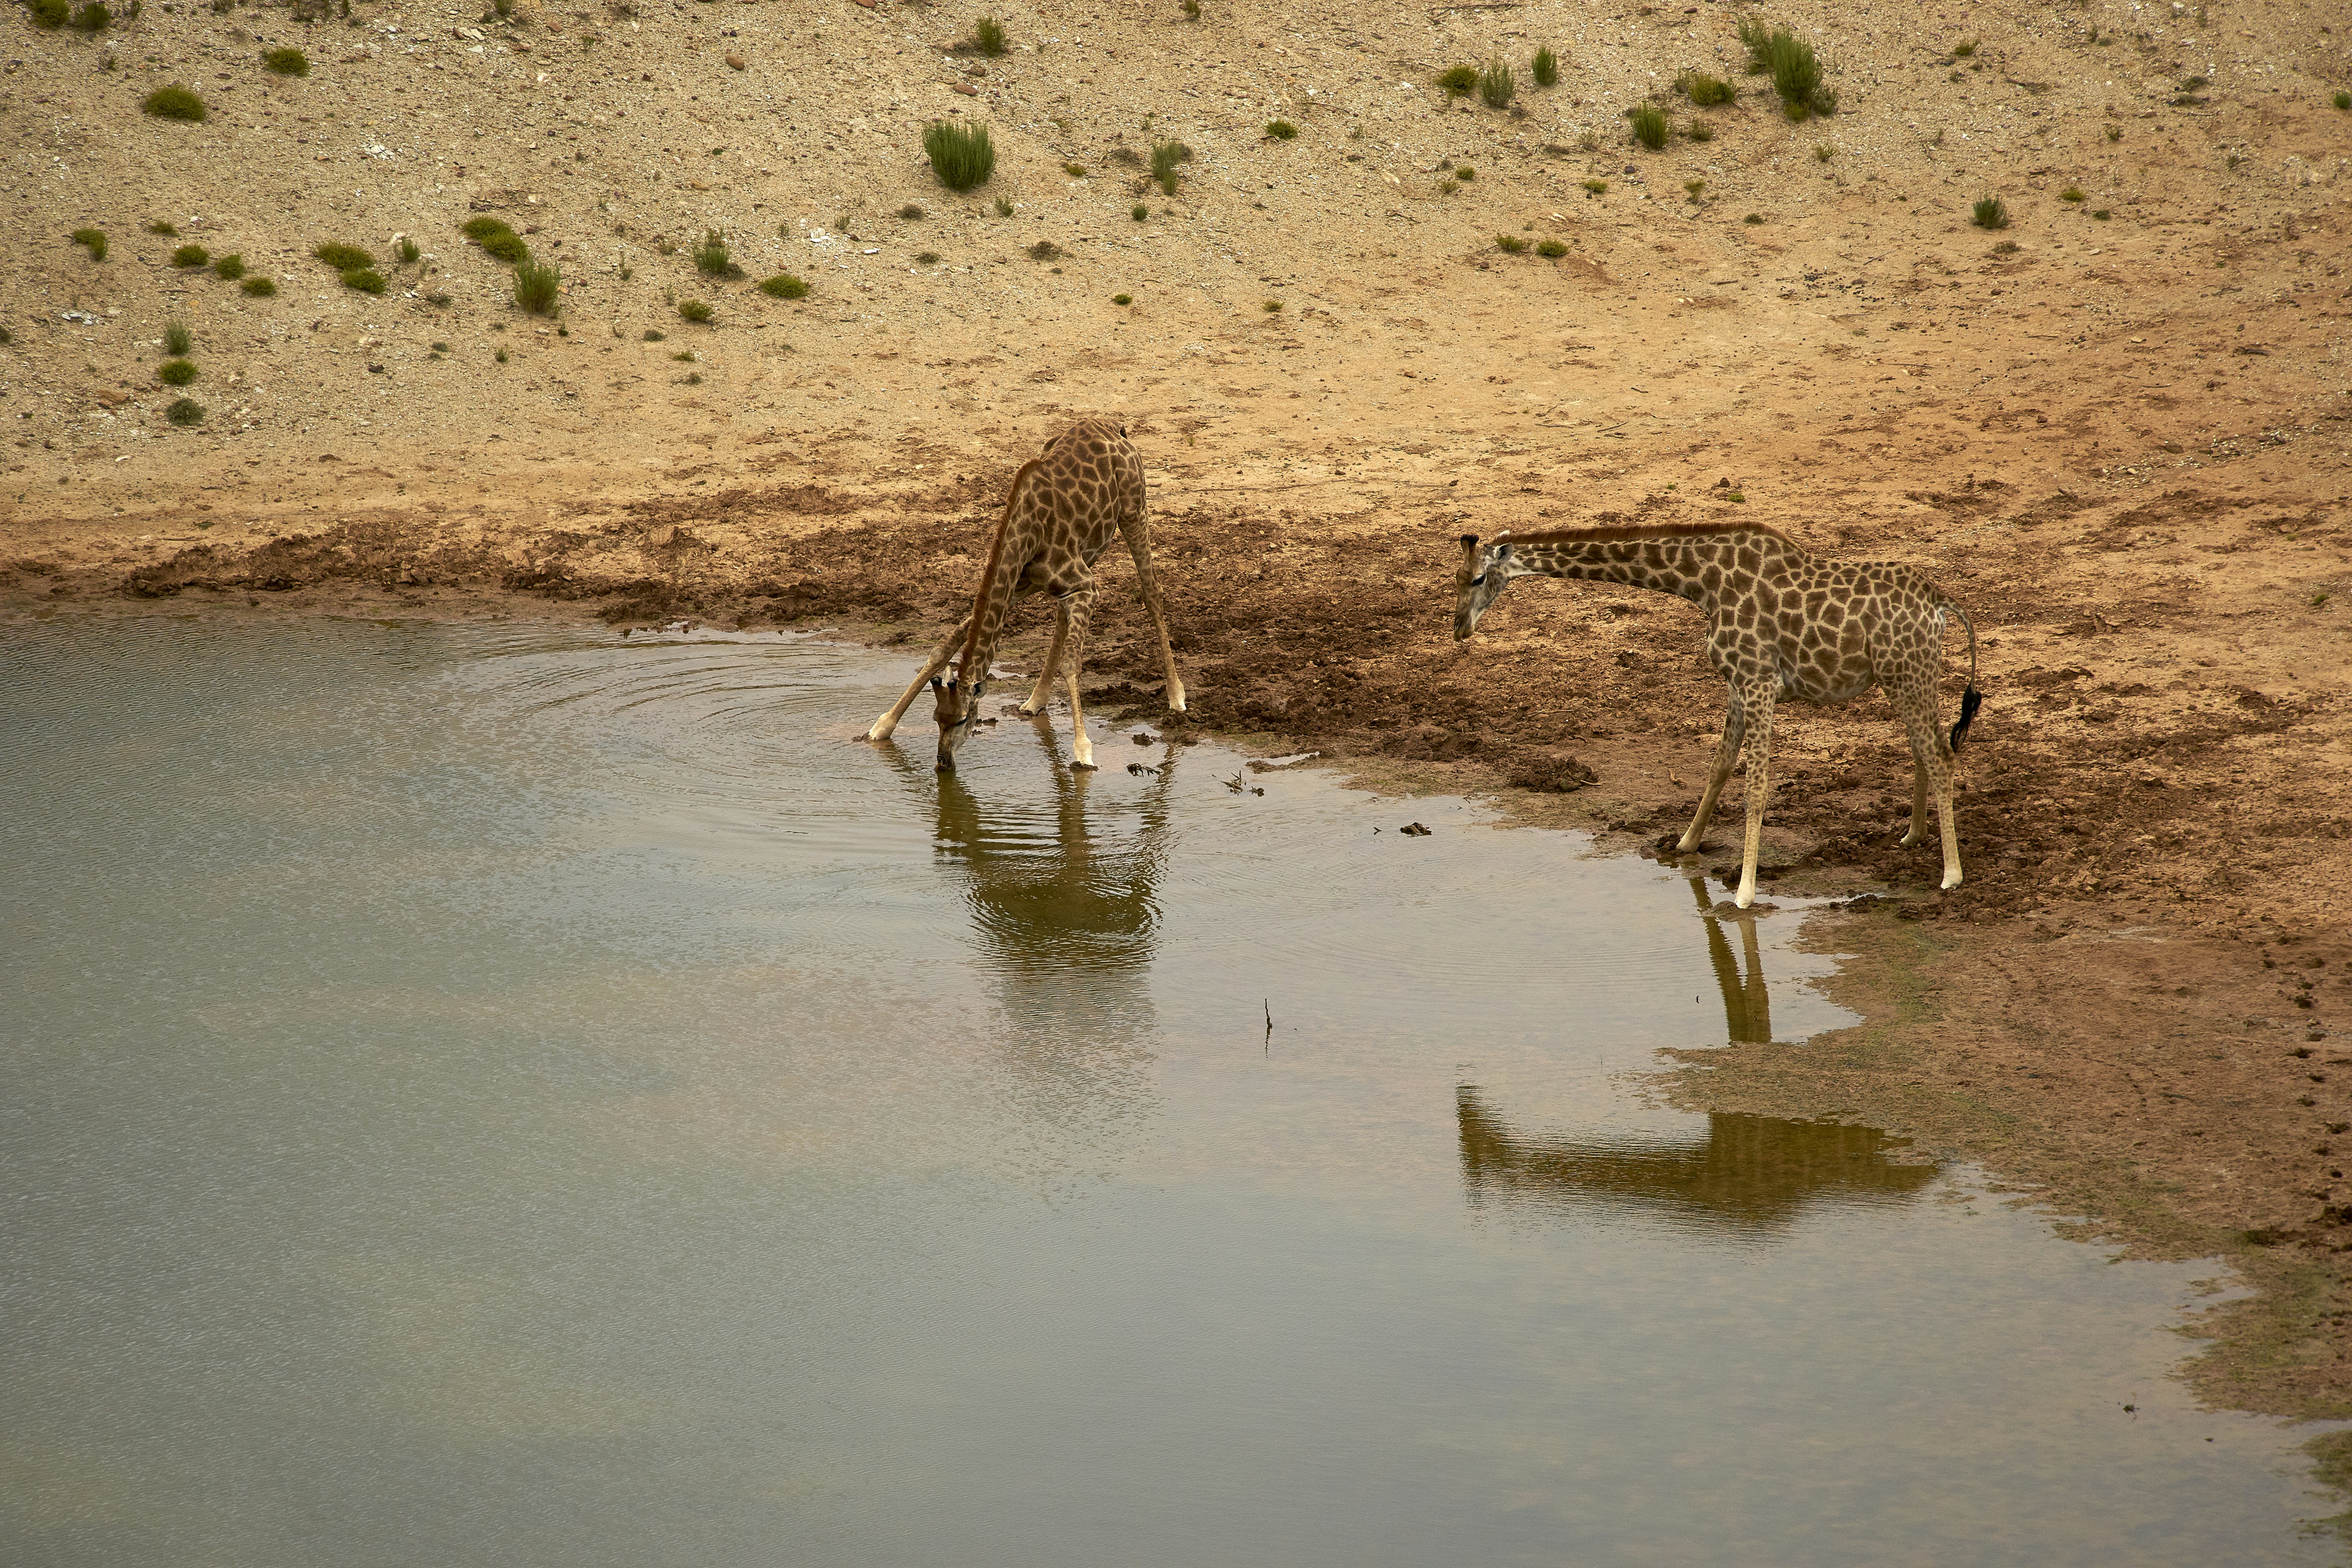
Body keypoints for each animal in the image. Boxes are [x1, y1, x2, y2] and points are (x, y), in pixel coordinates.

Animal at [867, 417, 1187, 773]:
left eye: (964, 720)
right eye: (937, 718)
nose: (943, 762)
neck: (1025, 535)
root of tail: (1114, 427)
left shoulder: (1086, 587)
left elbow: (1072, 662)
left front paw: (1083, 751)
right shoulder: (1021, 585)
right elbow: (945, 645)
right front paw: (883, 725)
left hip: (1134, 510)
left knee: (1151, 590)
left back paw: (1176, 697)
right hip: (1081, 557)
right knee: (1063, 615)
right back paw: (1035, 700)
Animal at [1452, 521, 1982, 910]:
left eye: (1477, 579)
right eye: (1455, 579)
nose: (1458, 628)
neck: (1702, 581)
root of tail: (1941, 602)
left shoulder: (1759, 681)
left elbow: (1757, 787)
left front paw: (1745, 892)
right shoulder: (1735, 682)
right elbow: (1720, 766)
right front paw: (1686, 844)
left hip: (1907, 673)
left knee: (1940, 754)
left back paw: (1952, 874)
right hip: (1904, 677)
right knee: (1923, 747)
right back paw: (1913, 836)